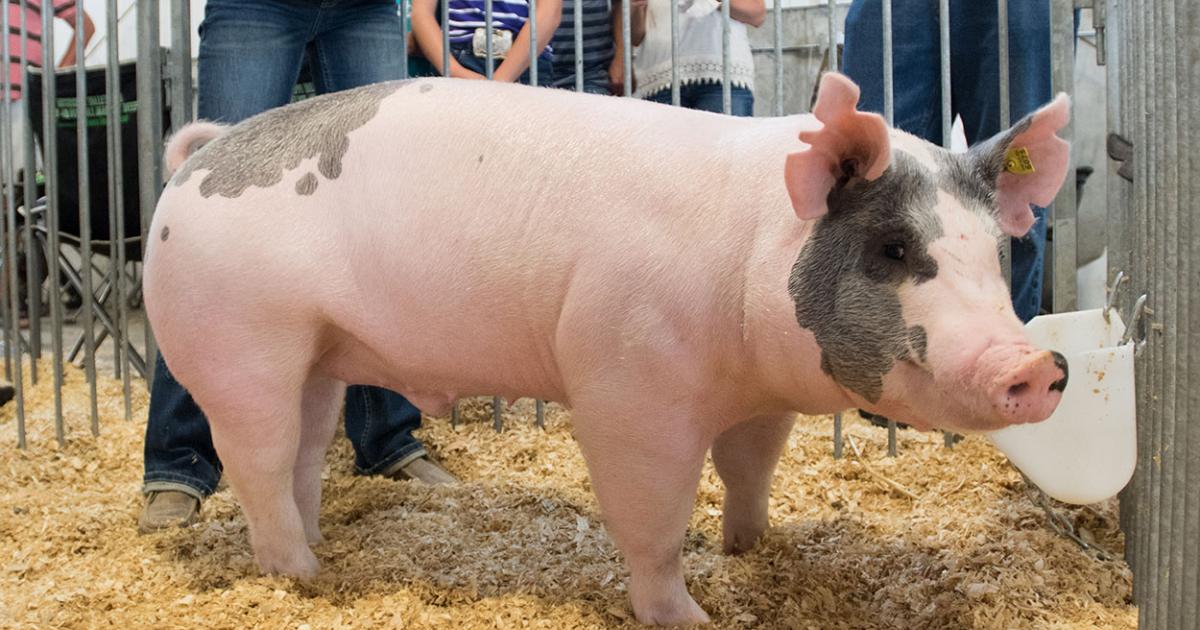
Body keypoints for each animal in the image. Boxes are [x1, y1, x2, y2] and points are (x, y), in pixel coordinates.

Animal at [144, 73, 1070, 626]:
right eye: (893, 248)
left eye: (997, 251)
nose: (1038, 366)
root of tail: (199, 156)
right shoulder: (631, 389)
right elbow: (653, 518)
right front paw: (690, 616)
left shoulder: (761, 401)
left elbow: (749, 471)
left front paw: (751, 549)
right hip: (240, 341)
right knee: (257, 459)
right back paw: (301, 576)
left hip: (318, 351)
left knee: (303, 452)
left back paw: (319, 553)